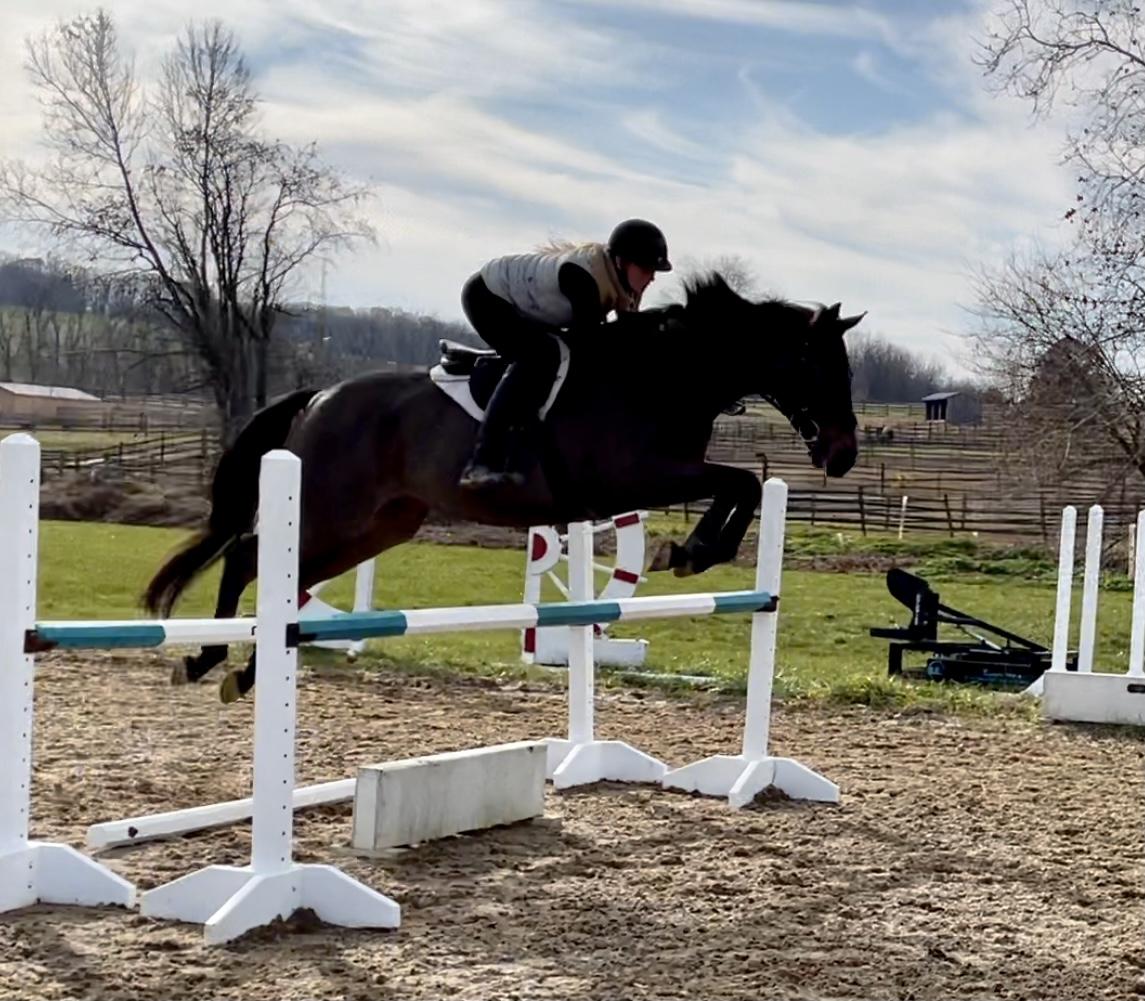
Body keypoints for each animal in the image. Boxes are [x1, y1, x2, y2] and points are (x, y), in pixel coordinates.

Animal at [144, 273, 864, 702]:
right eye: (821, 365)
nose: (842, 455)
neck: (663, 374)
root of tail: (319, 396)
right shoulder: (637, 474)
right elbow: (740, 481)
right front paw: (686, 552)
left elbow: (742, 487)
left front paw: (692, 552)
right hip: (331, 506)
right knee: (246, 557)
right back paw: (208, 660)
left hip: (379, 524)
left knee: (285, 579)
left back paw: (242, 669)